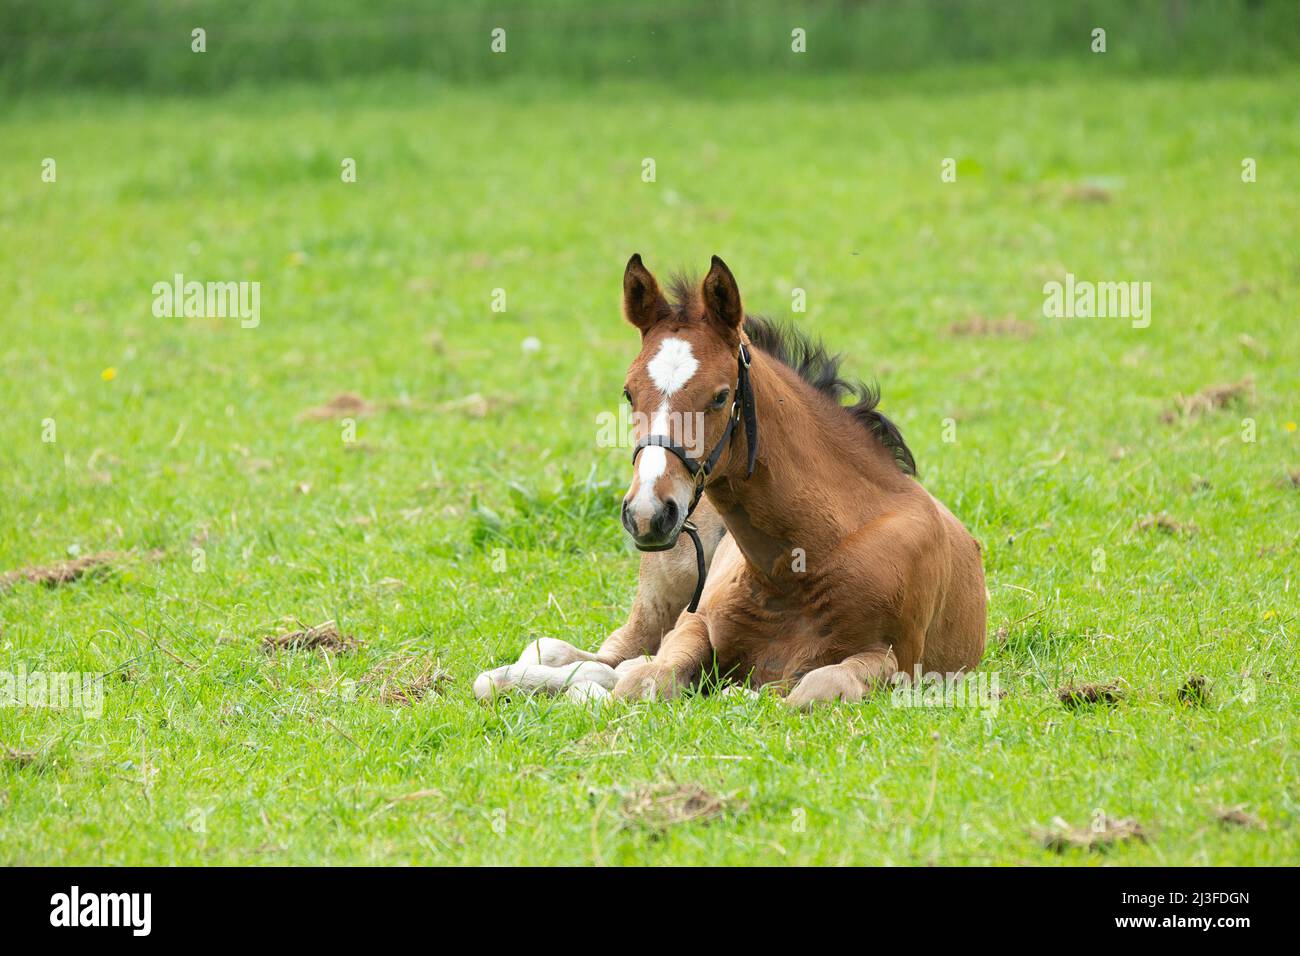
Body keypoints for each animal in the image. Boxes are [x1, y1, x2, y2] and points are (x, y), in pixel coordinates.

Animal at [473, 255, 986, 708]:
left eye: (721, 397)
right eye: (628, 392)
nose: (647, 513)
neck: (801, 563)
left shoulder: (898, 660)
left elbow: (815, 688)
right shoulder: (693, 624)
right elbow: (642, 681)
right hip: (659, 597)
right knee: (591, 655)